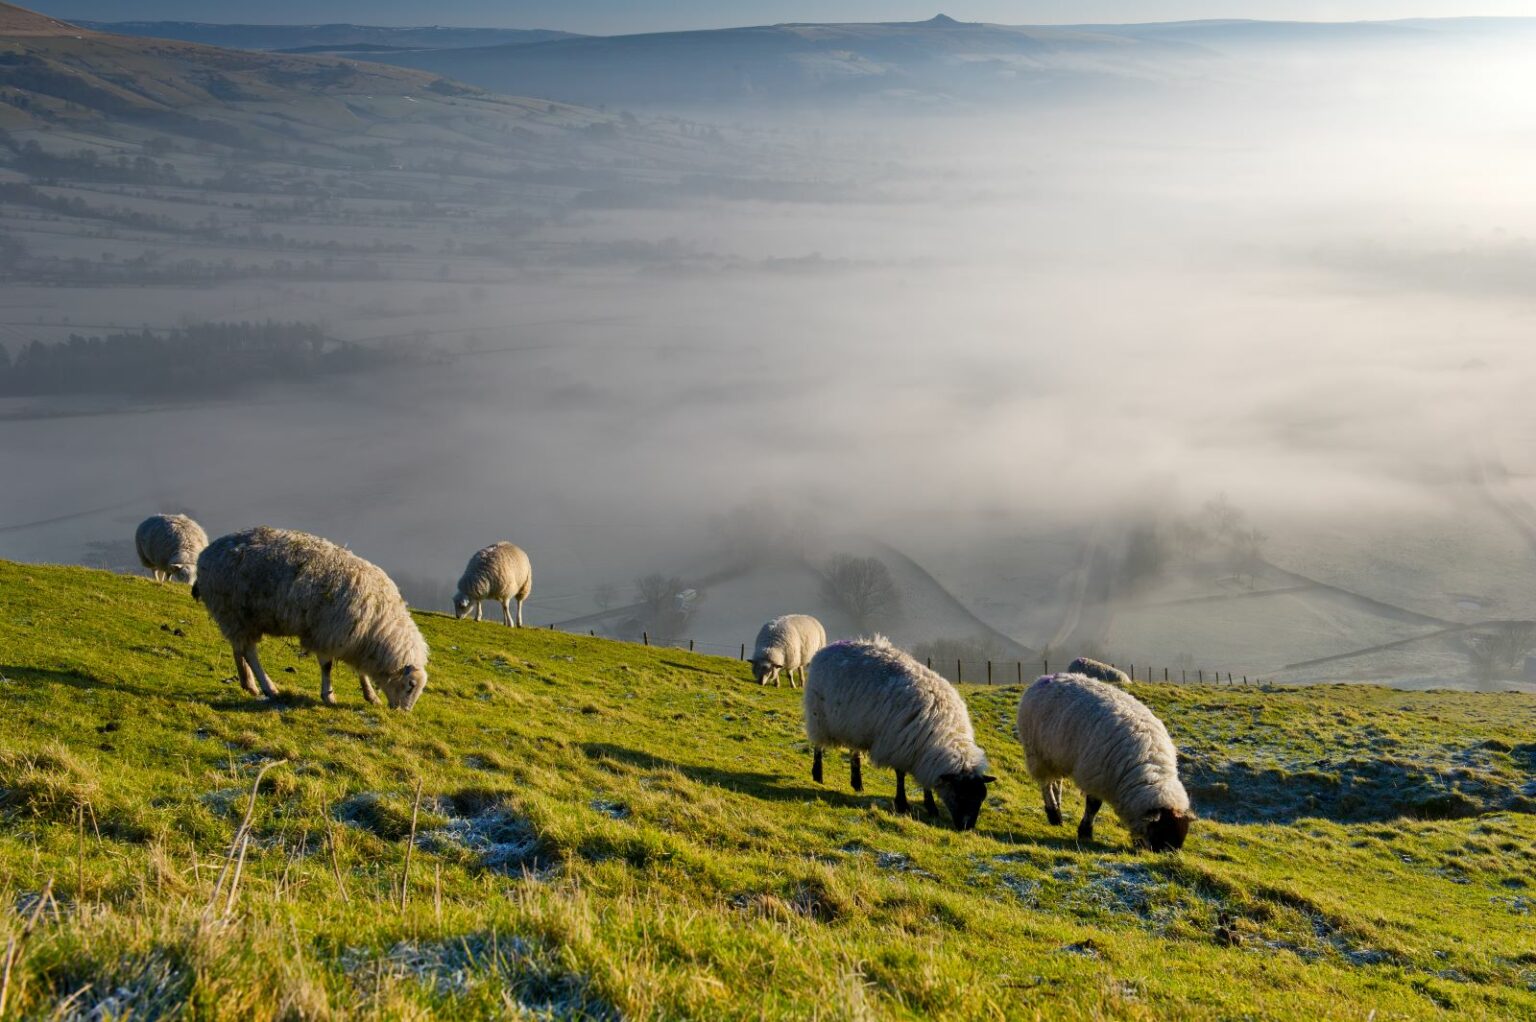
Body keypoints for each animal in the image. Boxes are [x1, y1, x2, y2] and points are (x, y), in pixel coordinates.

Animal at [193, 526, 428, 710]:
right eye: (410, 686)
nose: (403, 712)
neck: (379, 624)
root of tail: (205, 554)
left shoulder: (353, 640)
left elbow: (360, 672)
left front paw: (371, 696)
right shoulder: (327, 633)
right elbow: (327, 666)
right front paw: (329, 696)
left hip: (238, 618)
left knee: (238, 648)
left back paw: (248, 683)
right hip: (234, 611)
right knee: (250, 652)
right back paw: (269, 688)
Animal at [804, 636, 995, 830]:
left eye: (980, 799)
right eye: (960, 795)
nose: (967, 827)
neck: (941, 731)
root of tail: (829, 647)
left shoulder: (921, 754)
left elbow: (925, 783)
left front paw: (931, 807)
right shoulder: (899, 744)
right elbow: (901, 775)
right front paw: (902, 803)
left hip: (853, 726)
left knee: (853, 751)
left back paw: (857, 783)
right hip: (819, 716)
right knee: (818, 746)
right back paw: (817, 774)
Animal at [1015, 672, 1191, 851]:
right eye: (1161, 831)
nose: (1159, 854)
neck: (1149, 766)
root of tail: (1045, 677)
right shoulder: (1095, 774)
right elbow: (1093, 806)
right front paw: (1085, 832)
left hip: (1056, 755)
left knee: (1056, 781)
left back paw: (1058, 807)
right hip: (1037, 752)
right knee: (1046, 783)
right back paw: (1054, 814)